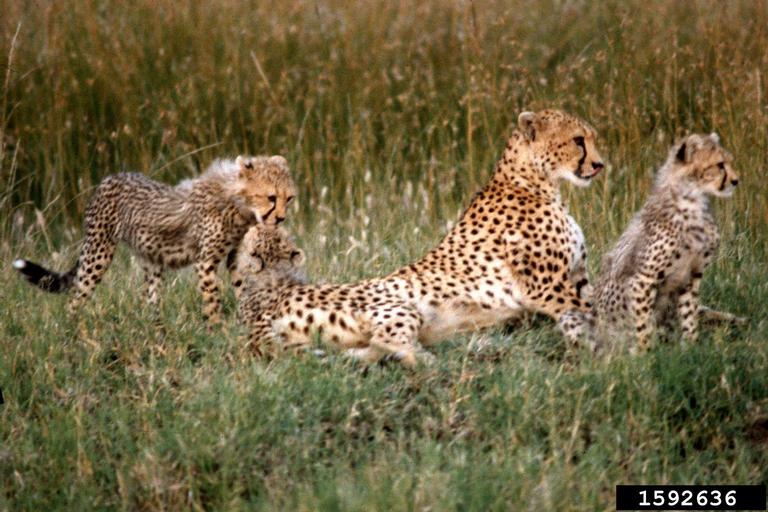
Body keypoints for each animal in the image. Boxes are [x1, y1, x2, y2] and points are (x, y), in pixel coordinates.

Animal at [13, 155, 296, 326]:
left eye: (289, 198)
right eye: (271, 197)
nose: (281, 218)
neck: (237, 202)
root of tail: (111, 177)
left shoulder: (234, 258)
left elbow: (242, 288)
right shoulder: (204, 261)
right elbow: (212, 299)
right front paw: (217, 328)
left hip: (150, 260)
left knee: (149, 299)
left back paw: (156, 328)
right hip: (99, 252)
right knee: (77, 295)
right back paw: (74, 331)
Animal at [233, 109, 605, 365]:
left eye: (591, 138)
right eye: (578, 140)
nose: (600, 165)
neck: (536, 182)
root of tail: (261, 304)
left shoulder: (577, 278)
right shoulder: (548, 287)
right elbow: (595, 309)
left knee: (368, 349)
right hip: (398, 308)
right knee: (392, 343)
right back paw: (439, 361)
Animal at [593, 133, 743, 352]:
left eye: (729, 162)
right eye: (719, 164)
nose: (735, 181)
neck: (693, 200)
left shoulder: (691, 275)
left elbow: (689, 314)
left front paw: (690, 347)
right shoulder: (643, 279)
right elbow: (643, 322)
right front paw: (645, 354)